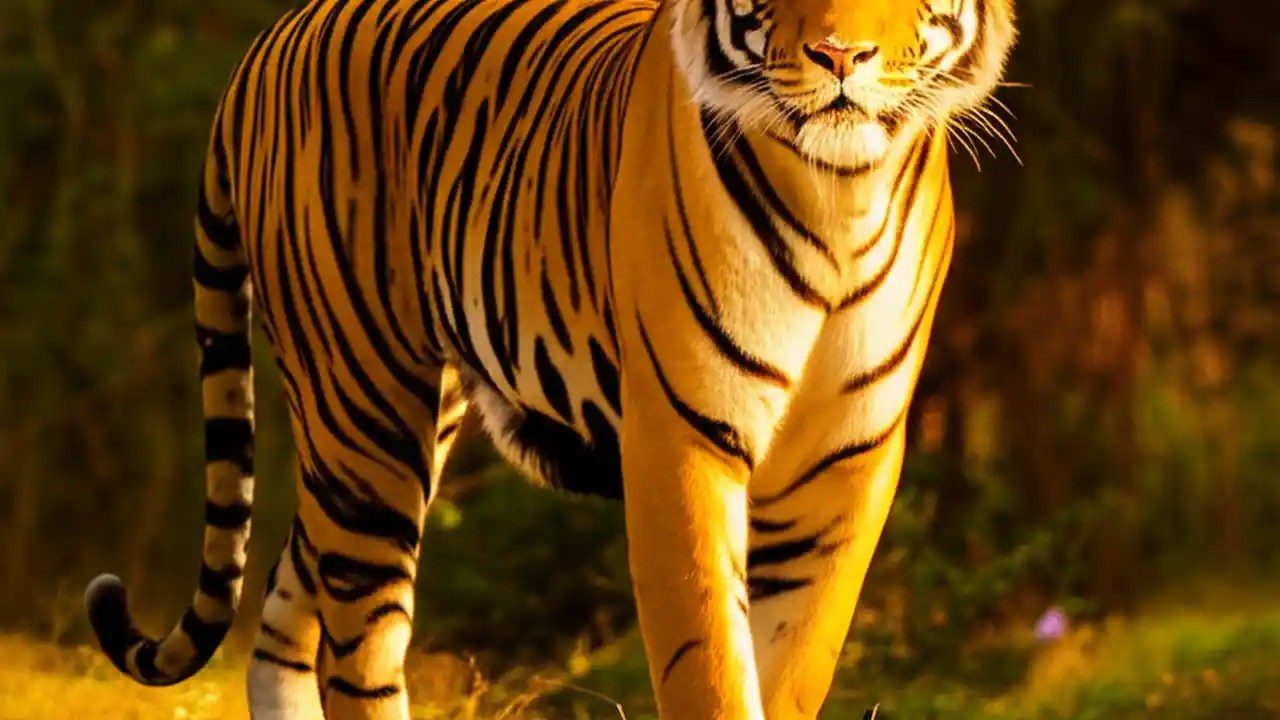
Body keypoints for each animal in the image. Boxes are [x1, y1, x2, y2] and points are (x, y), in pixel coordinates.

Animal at [82, 0, 1015, 716]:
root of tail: (272, 37)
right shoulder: (682, 436)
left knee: (287, 602)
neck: (841, 190)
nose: (840, 56)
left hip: (397, 423)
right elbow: (710, 665)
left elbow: (793, 666)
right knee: (359, 647)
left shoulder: (848, 463)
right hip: (364, 409)